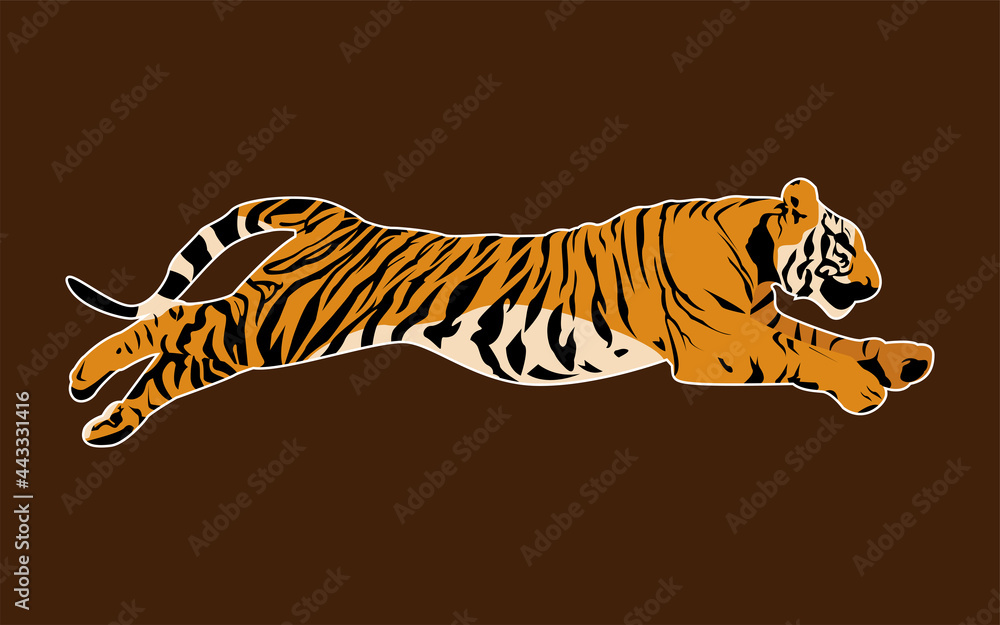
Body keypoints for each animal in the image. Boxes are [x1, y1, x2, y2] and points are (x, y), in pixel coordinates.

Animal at [68, 177, 934, 447]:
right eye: (848, 247)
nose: (879, 280)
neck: (753, 249)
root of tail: (338, 218)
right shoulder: (718, 344)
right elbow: (804, 351)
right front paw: (864, 388)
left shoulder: (753, 322)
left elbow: (823, 335)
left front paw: (901, 357)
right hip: (282, 321)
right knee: (175, 324)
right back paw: (84, 383)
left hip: (272, 323)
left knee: (180, 352)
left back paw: (106, 417)